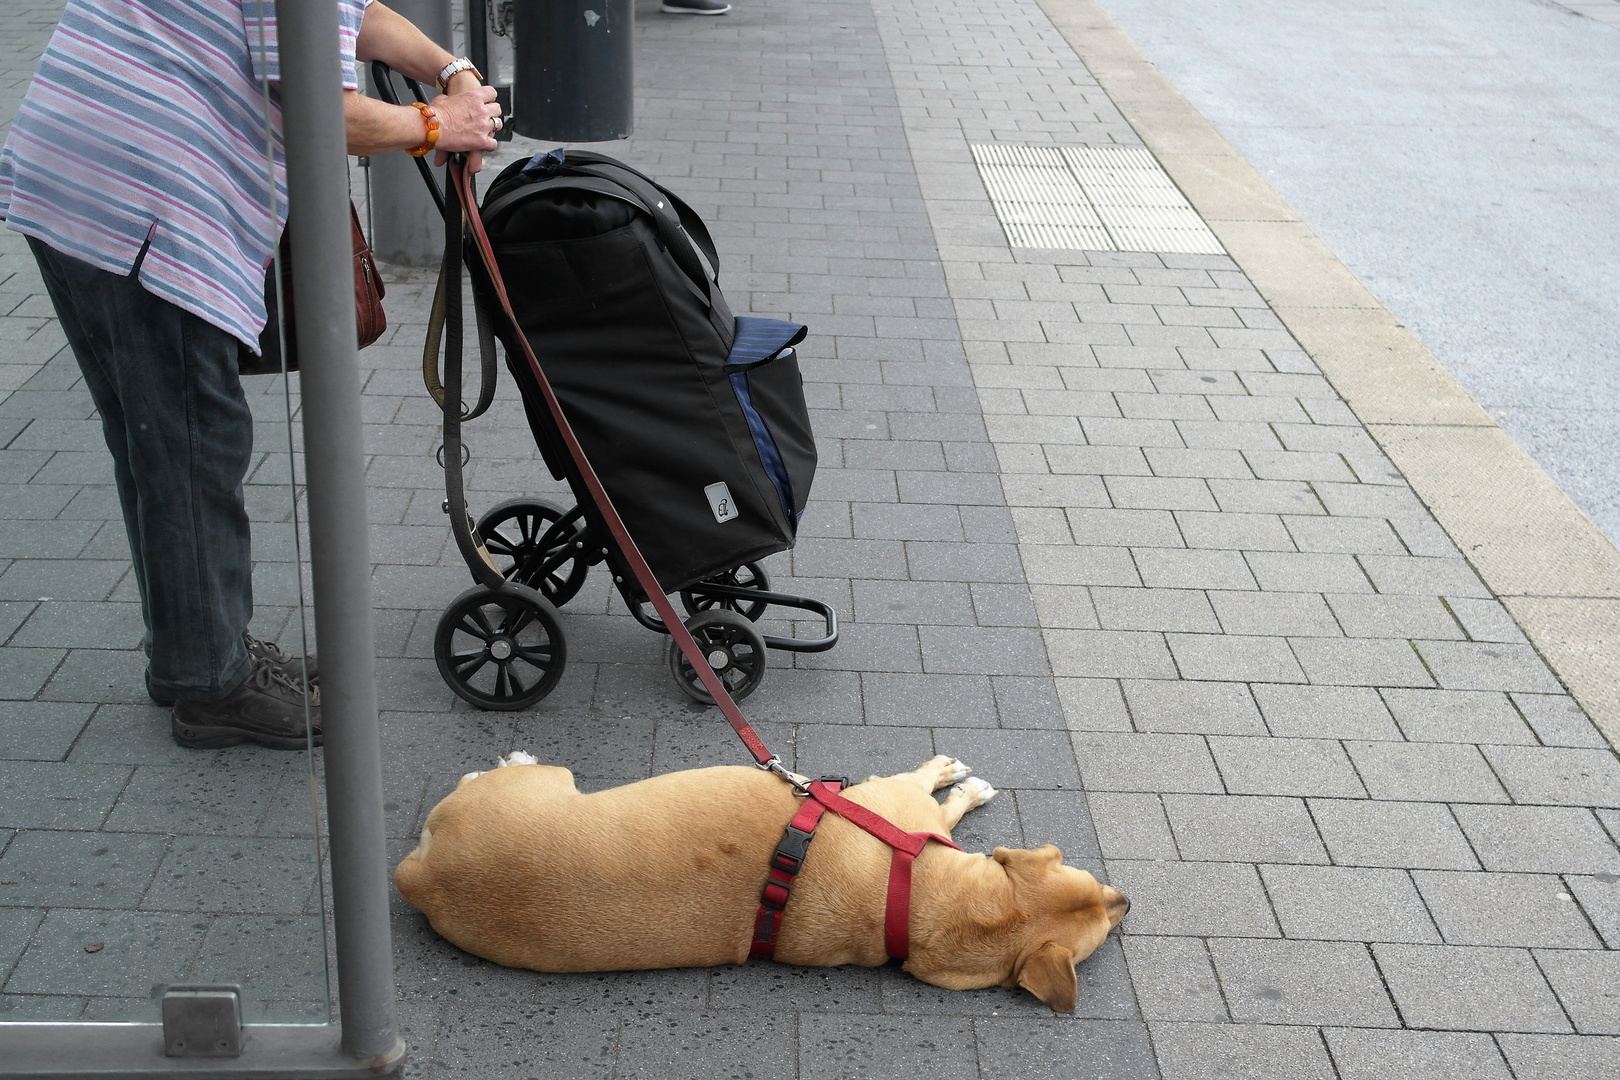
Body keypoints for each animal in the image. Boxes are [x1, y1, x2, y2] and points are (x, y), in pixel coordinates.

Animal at [392, 757, 1127, 1010]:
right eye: (1099, 896)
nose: (1130, 900)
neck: (915, 900)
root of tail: (421, 877)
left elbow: (942, 804)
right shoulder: (897, 803)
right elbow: (933, 789)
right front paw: (955, 779)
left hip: (547, 780)